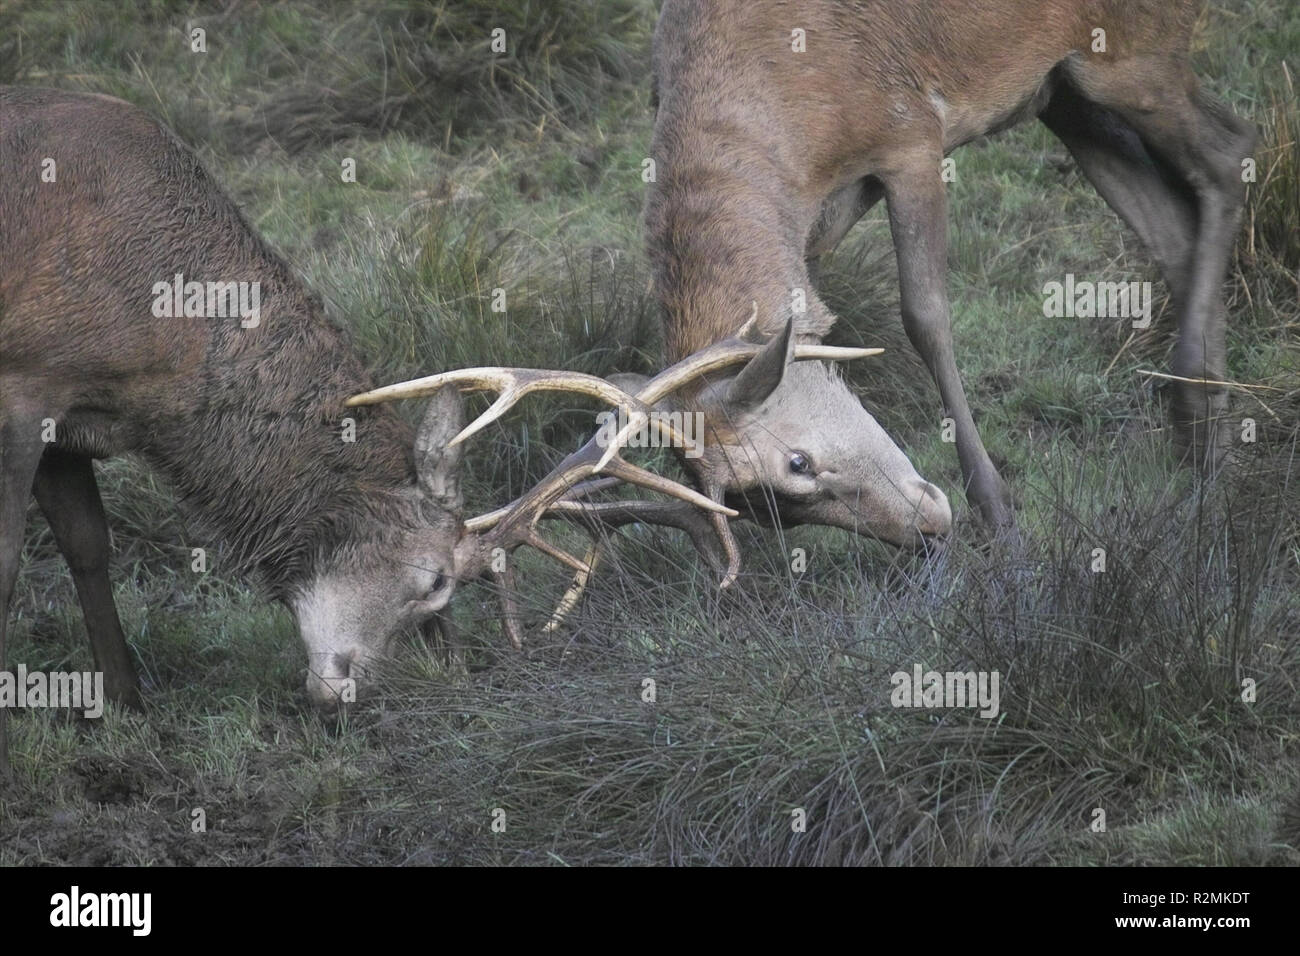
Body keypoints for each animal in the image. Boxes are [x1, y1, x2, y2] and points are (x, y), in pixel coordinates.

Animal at [0, 86, 878, 777]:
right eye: (432, 584)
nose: (345, 691)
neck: (154, 341)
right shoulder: (21, 381)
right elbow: (13, 563)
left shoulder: (66, 416)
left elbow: (88, 545)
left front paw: (124, 701)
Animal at [635, 0, 1257, 549]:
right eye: (767, 513)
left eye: (797, 461)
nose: (924, 532)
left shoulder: (909, 133)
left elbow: (925, 317)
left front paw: (998, 512)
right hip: (1064, 93)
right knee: (1174, 222)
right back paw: (1211, 437)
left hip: (1132, 53)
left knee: (1230, 151)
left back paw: (1196, 416)